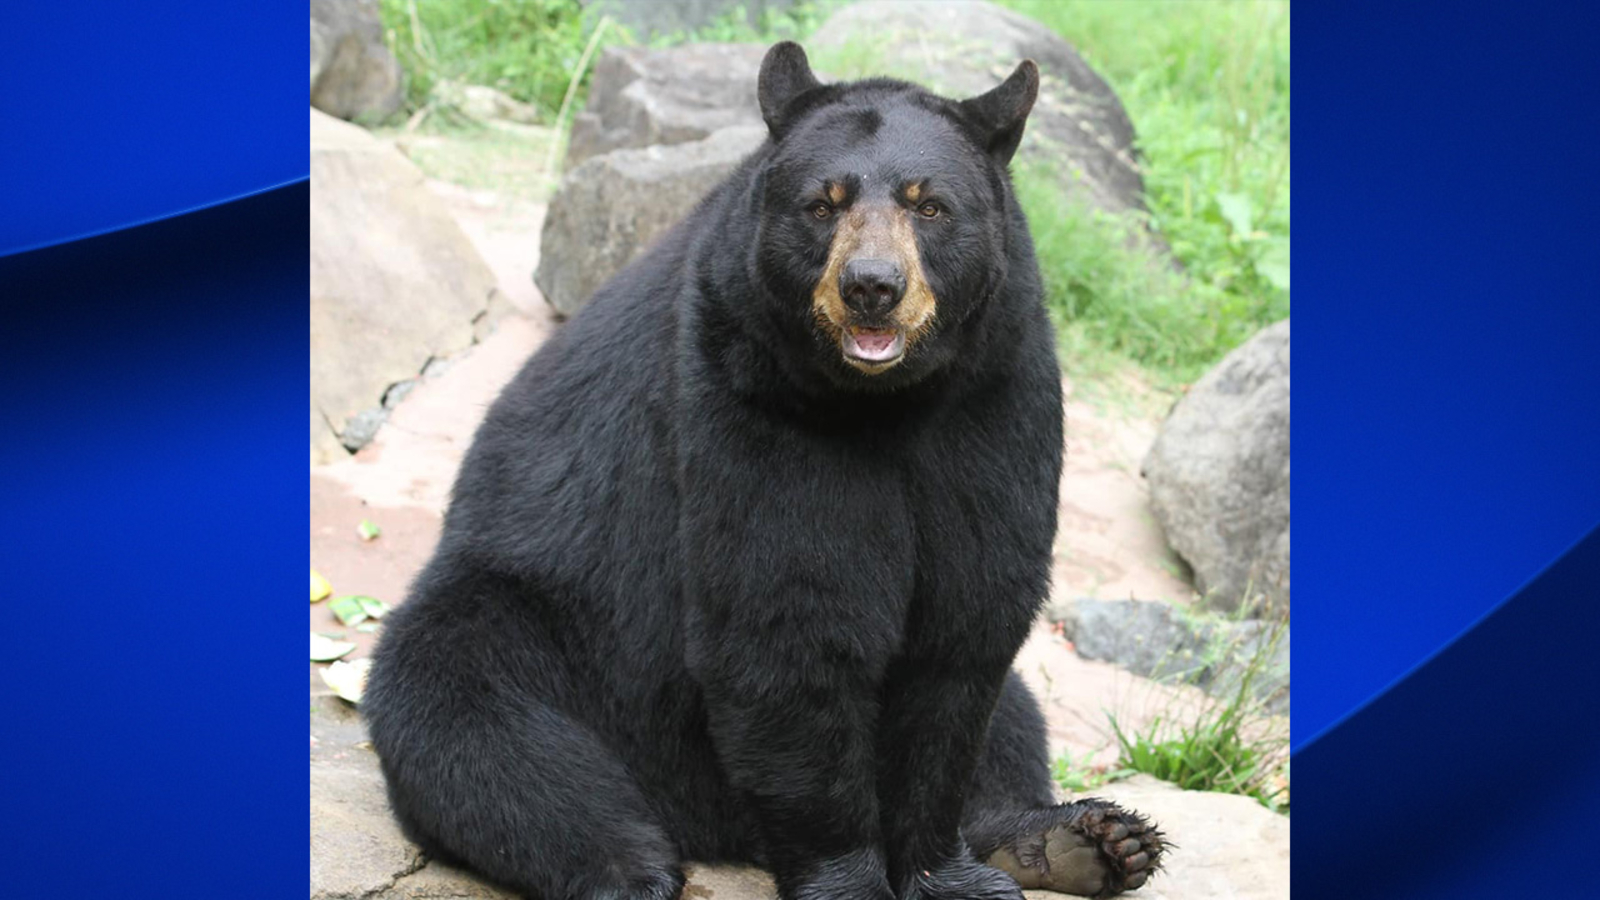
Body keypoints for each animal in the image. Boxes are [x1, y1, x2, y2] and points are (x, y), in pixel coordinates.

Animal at [363, 42, 1165, 900]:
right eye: (823, 203)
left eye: (929, 205)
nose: (872, 287)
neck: (885, 401)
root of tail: (713, 823)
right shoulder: (748, 396)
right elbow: (788, 619)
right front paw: (849, 878)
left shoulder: (995, 397)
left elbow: (964, 626)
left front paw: (946, 872)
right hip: (531, 619)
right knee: (479, 727)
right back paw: (631, 867)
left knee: (1014, 714)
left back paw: (1080, 839)